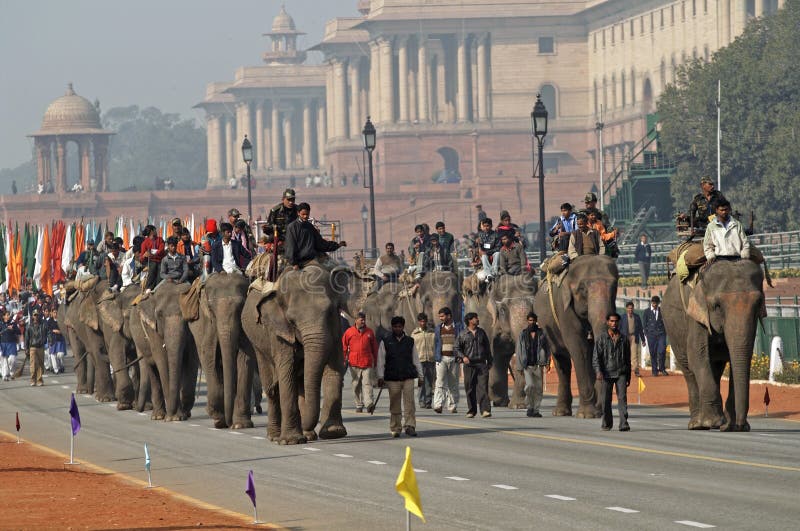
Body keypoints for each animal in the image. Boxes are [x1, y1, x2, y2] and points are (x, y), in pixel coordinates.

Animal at [186, 272, 256, 430]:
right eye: (211, 308)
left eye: (241, 307)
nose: (229, 423)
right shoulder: (207, 324)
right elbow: (208, 354)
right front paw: (217, 418)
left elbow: (245, 358)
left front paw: (240, 425)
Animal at [242, 264, 350, 444]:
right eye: (292, 321)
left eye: (330, 312)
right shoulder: (278, 332)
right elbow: (287, 372)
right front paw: (291, 441)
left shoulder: (337, 328)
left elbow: (334, 369)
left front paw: (333, 433)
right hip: (257, 343)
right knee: (272, 385)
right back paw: (275, 436)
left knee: (300, 383)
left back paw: (307, 435)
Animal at [533, 255, 619, 418]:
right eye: (583, 290)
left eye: (614, 288)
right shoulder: (564, 309)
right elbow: (580, 348)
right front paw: (587, 415)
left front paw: (597, 411)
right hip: (548, 327)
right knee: (562, 361)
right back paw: (561, 412)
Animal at [662, 259, 764, 431]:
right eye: (717, 306)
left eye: (758, 303)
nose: (741, 426)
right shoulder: (695, 313)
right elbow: (697, 354)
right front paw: (715, 423)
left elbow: (742, 356)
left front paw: (729, 425)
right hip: (672, 329)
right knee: (688, 369)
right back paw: (698, 424)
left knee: (715, 367)